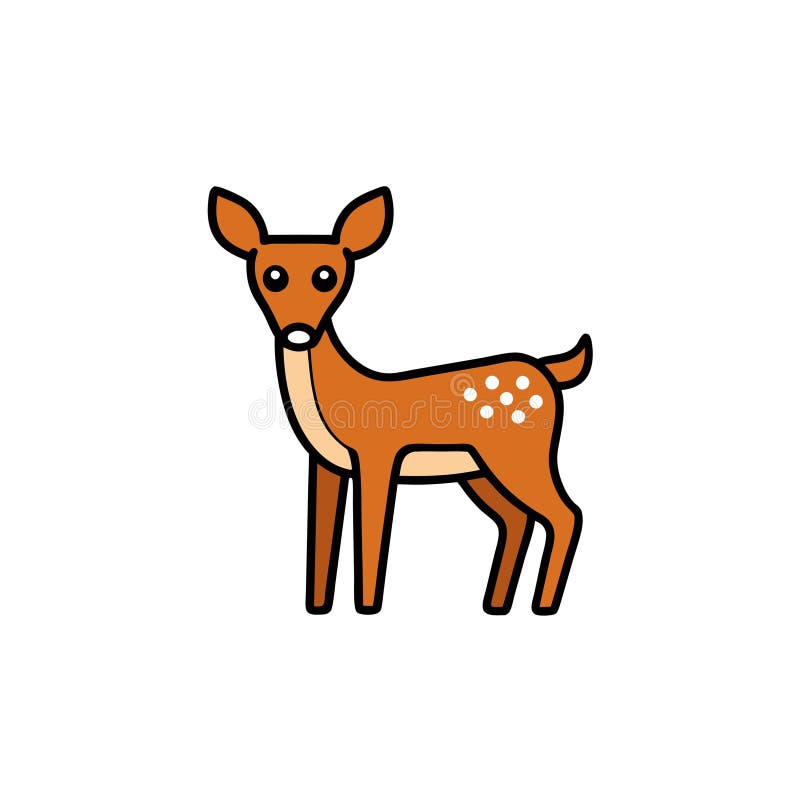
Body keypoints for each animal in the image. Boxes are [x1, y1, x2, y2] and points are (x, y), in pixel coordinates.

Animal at [208, 186, 592, 615]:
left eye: (327, 275)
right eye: (271, 275)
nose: (298, 332)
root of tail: (548, 370)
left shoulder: (378, 455)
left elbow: (372, 533)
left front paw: (367, 607)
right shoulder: (326, 464)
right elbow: (321, 537)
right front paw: (318, 607)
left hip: (523, 454)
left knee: (566, 514)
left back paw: (542, 605)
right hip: (479, 469)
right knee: (517, 520)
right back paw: (495, 605)